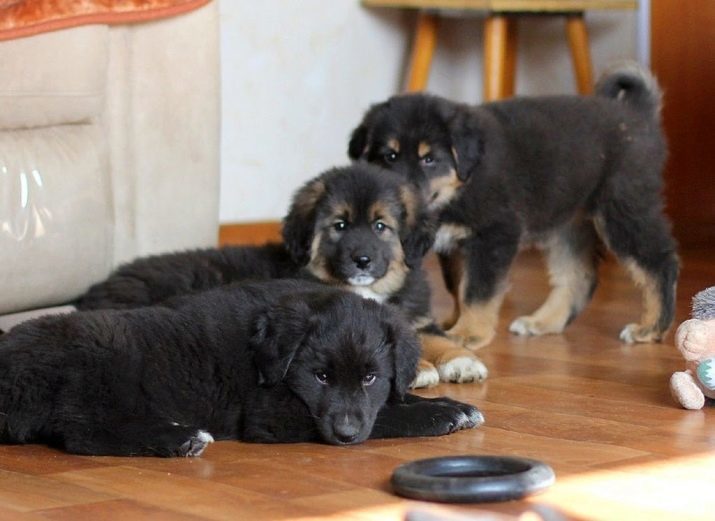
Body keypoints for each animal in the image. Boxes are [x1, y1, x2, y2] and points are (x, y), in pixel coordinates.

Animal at [0, 280, 484, 456]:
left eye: (370, 378)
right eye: (321, 377)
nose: (346, 435)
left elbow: (389, 402)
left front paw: (449, 403)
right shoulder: (271, 414)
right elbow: (384, 416)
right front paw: (441, 414)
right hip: (101, 356)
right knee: (85, 434)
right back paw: (182, 438)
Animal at [75, 162, 490, 386]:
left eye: (380, 226)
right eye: (339, 226)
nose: (362, 260)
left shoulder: (414, 315)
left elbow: (432, 335)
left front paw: (461, 361)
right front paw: (421, 369)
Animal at [350, 63, 680, 350]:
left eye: (428, 159)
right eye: (389, 156)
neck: (464, 183)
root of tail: (636, 113)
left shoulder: (495, 234)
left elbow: (477, 290)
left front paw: (469, 332)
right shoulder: (454, 244)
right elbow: (457, 286)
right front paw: (455, 322)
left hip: (622, 209)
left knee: (659, 263)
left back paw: (651, 327)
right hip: (567, 222)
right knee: (579, 276)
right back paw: (543, 322)